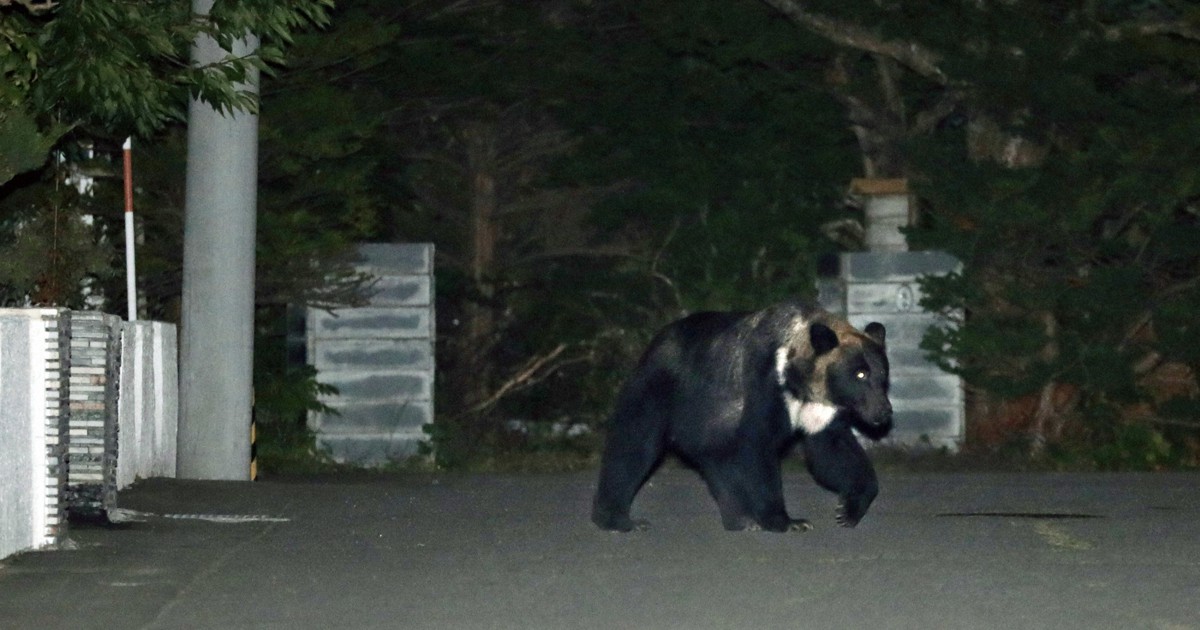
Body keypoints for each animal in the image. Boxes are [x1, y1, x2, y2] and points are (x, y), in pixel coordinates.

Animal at [591, 299, 892, 532]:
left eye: (882, 375)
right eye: (860, 374)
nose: (884, 412)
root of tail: (654, 341)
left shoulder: (820, 406)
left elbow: (831, 451)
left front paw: (848, 509)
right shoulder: (764, 383)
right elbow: (758, 445)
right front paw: (787, 520)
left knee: (717, 456)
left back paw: (740, 517)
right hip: (661, 387)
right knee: (635, 444)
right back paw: (618, 519)